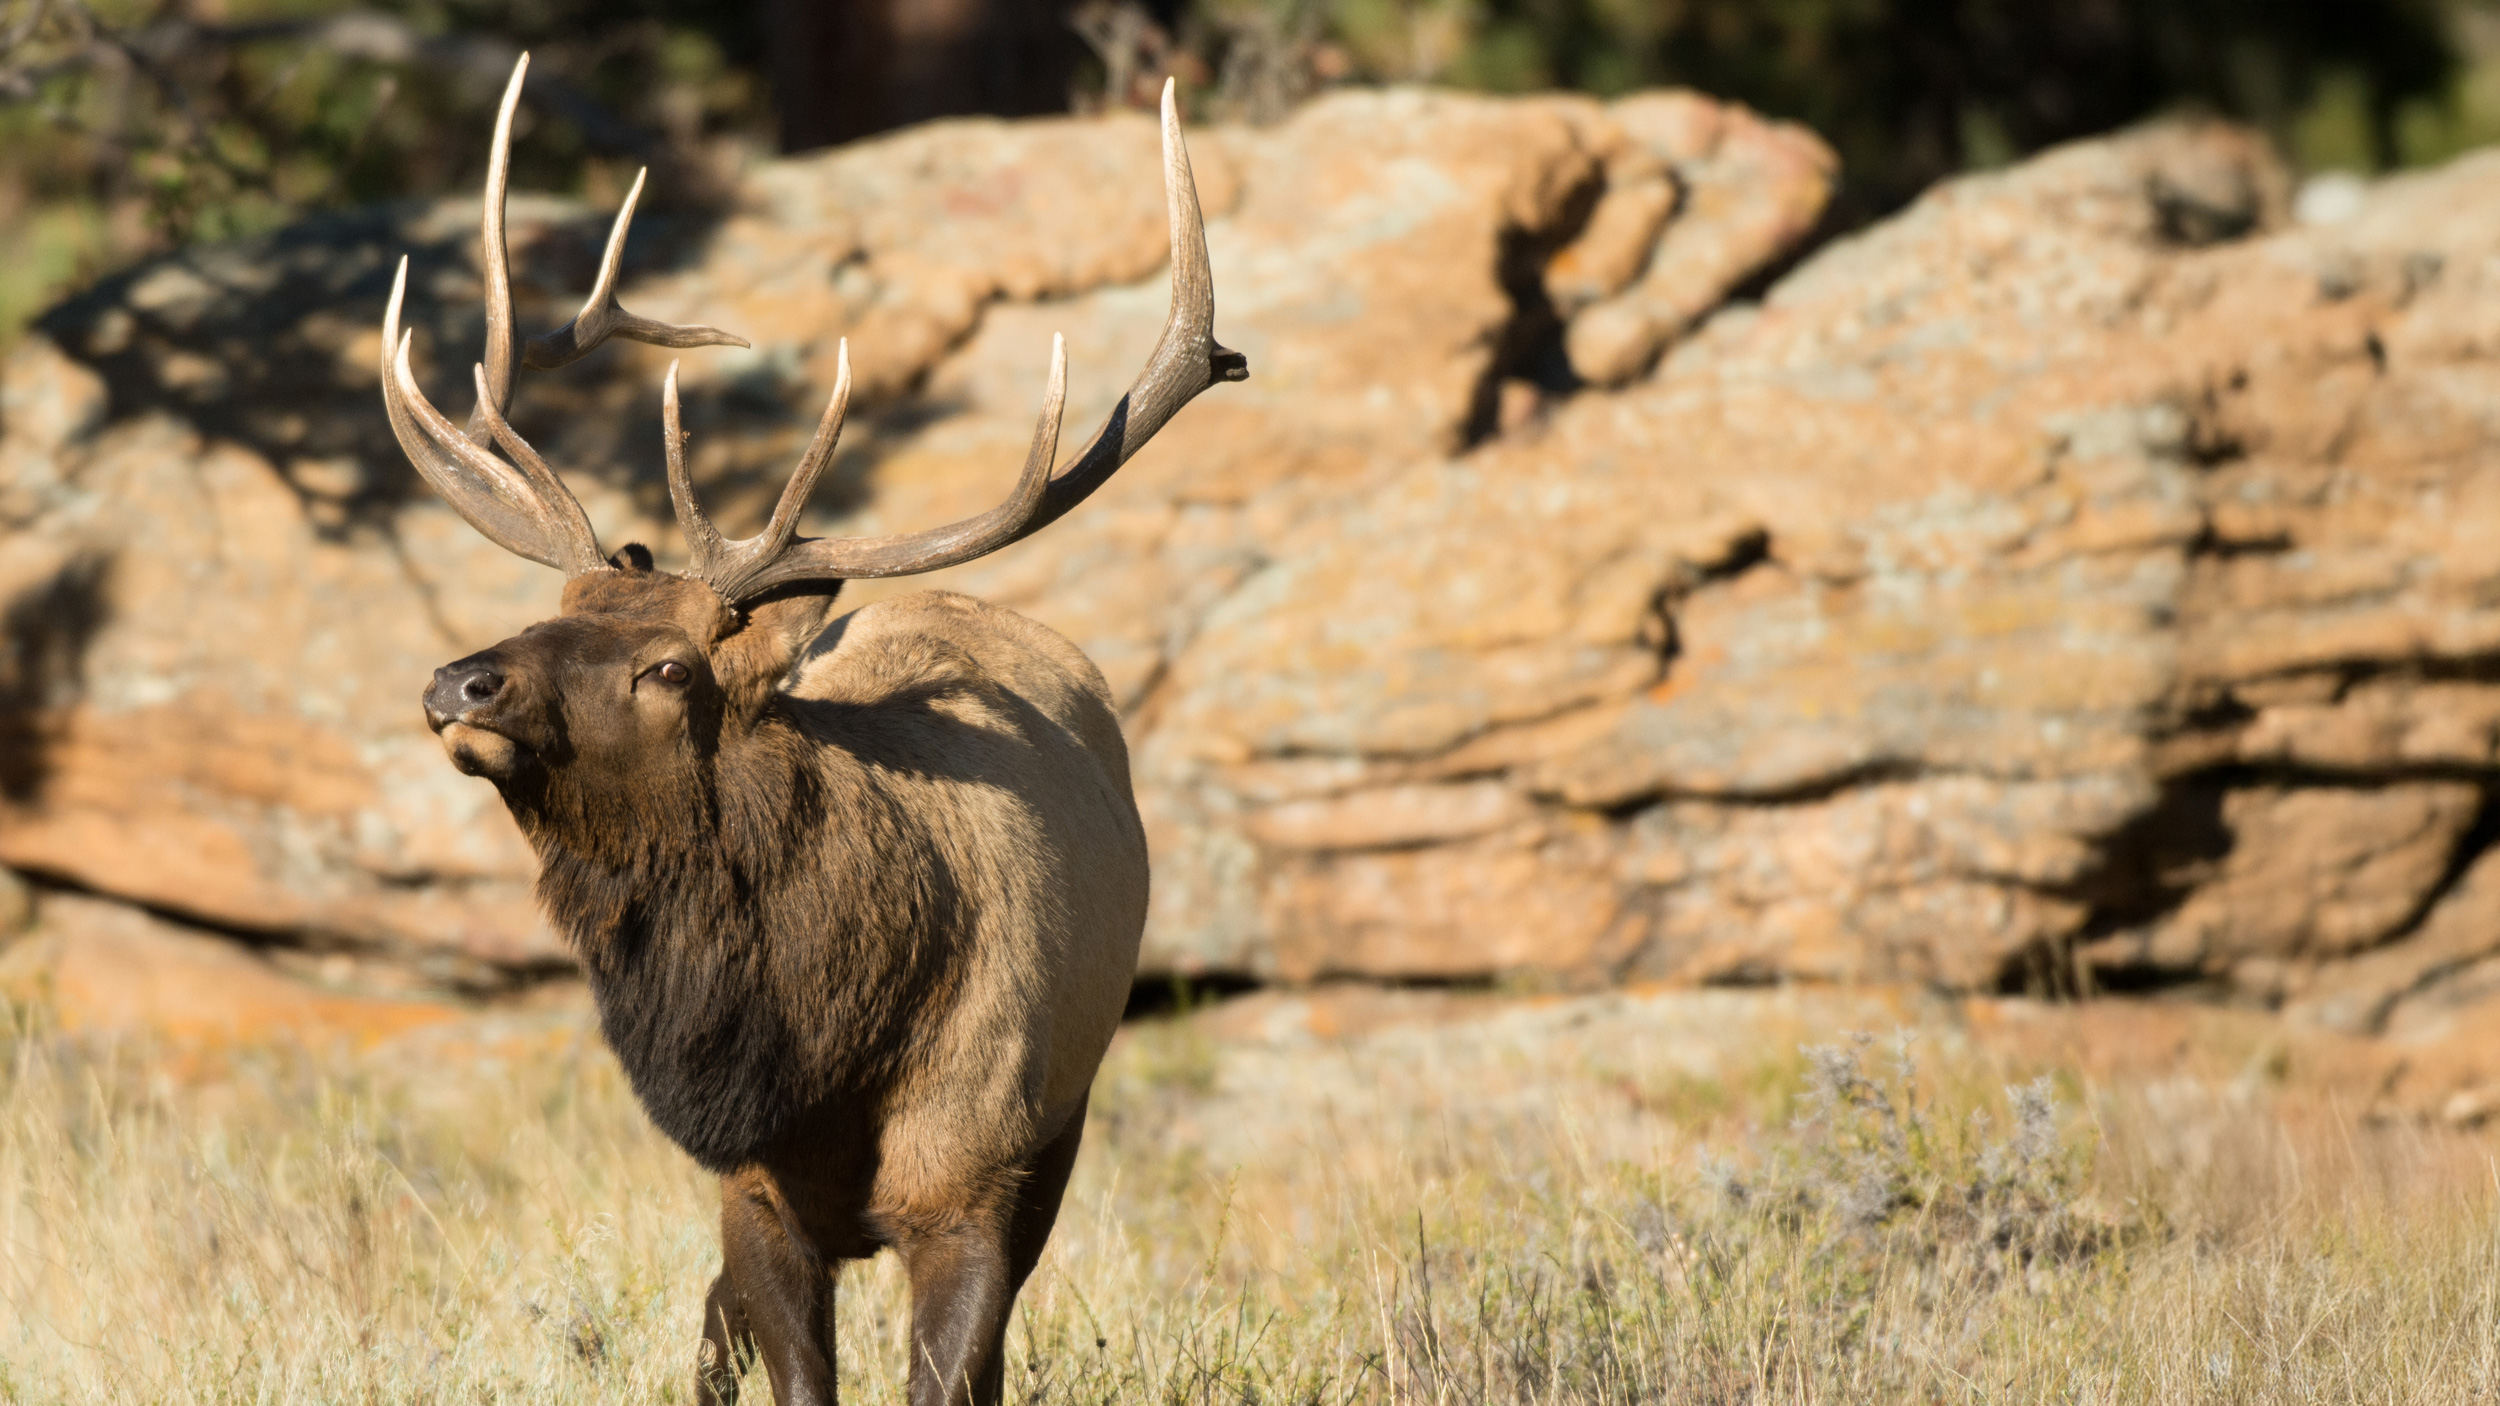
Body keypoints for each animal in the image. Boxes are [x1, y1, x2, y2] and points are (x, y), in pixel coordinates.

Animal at [386, 56, 1243, 1406]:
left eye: (670, 665)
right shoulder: (750, 1188)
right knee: (707, 1323)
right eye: (556, 608)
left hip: (1065, 1118)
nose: (458, 682)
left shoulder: (975, 1172)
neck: (824, 1056)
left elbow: (953, 1372)